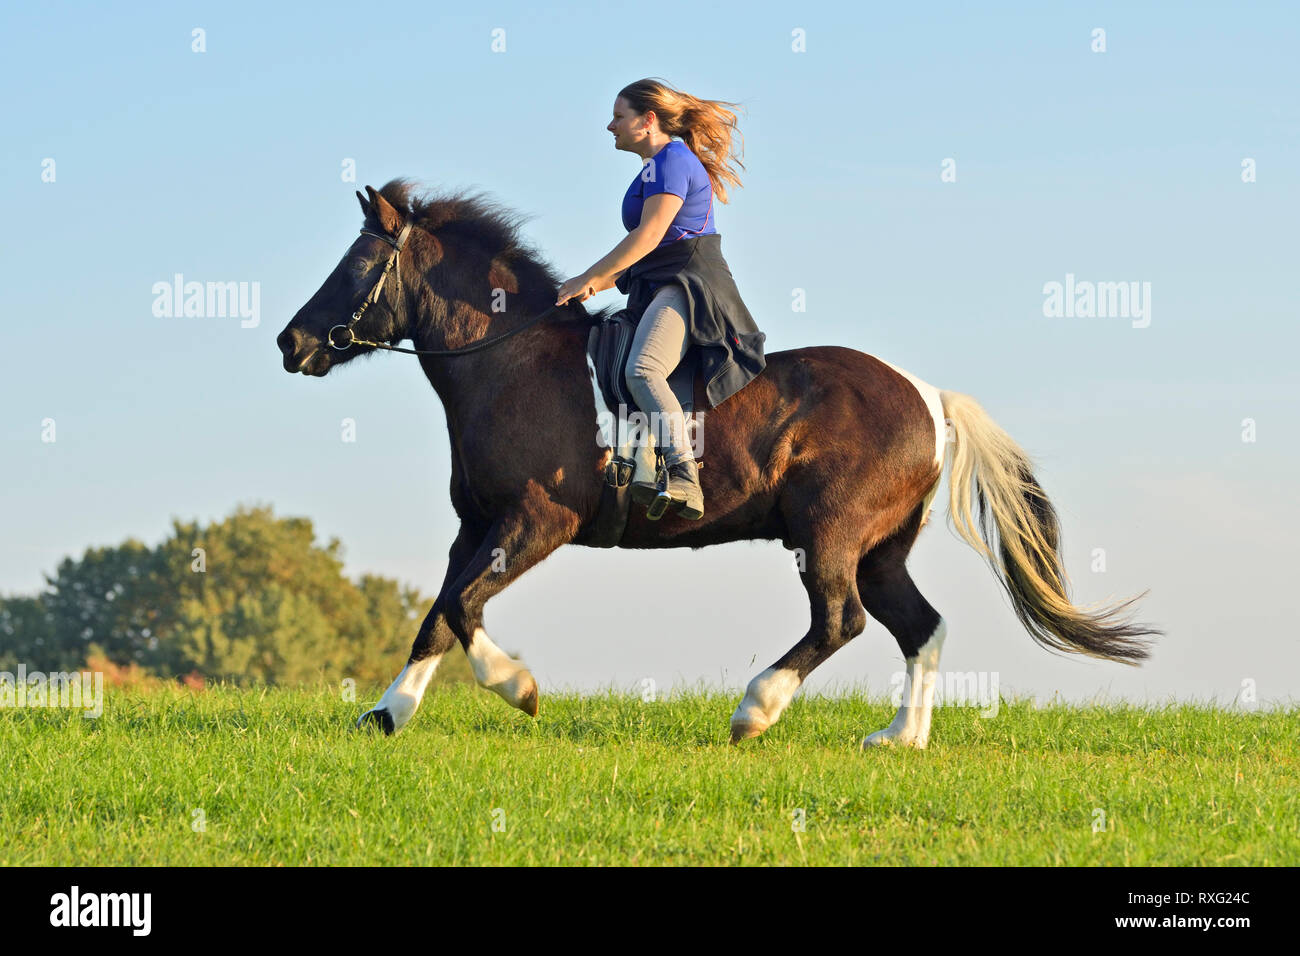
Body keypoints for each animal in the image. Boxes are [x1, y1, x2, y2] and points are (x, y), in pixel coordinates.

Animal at [276, 180, 1161, 748]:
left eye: (356, 267)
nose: (291, 342)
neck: (511, 360)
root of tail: (928, 397)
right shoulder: (479, 526)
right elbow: (438, 612)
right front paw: (386, 716)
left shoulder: (537, 519)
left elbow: (463, 608)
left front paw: (519, 688)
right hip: (880, 547)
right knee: (920, 625)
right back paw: (897, 739)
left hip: (829, 533)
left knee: (841, 620)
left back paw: (754, 712)